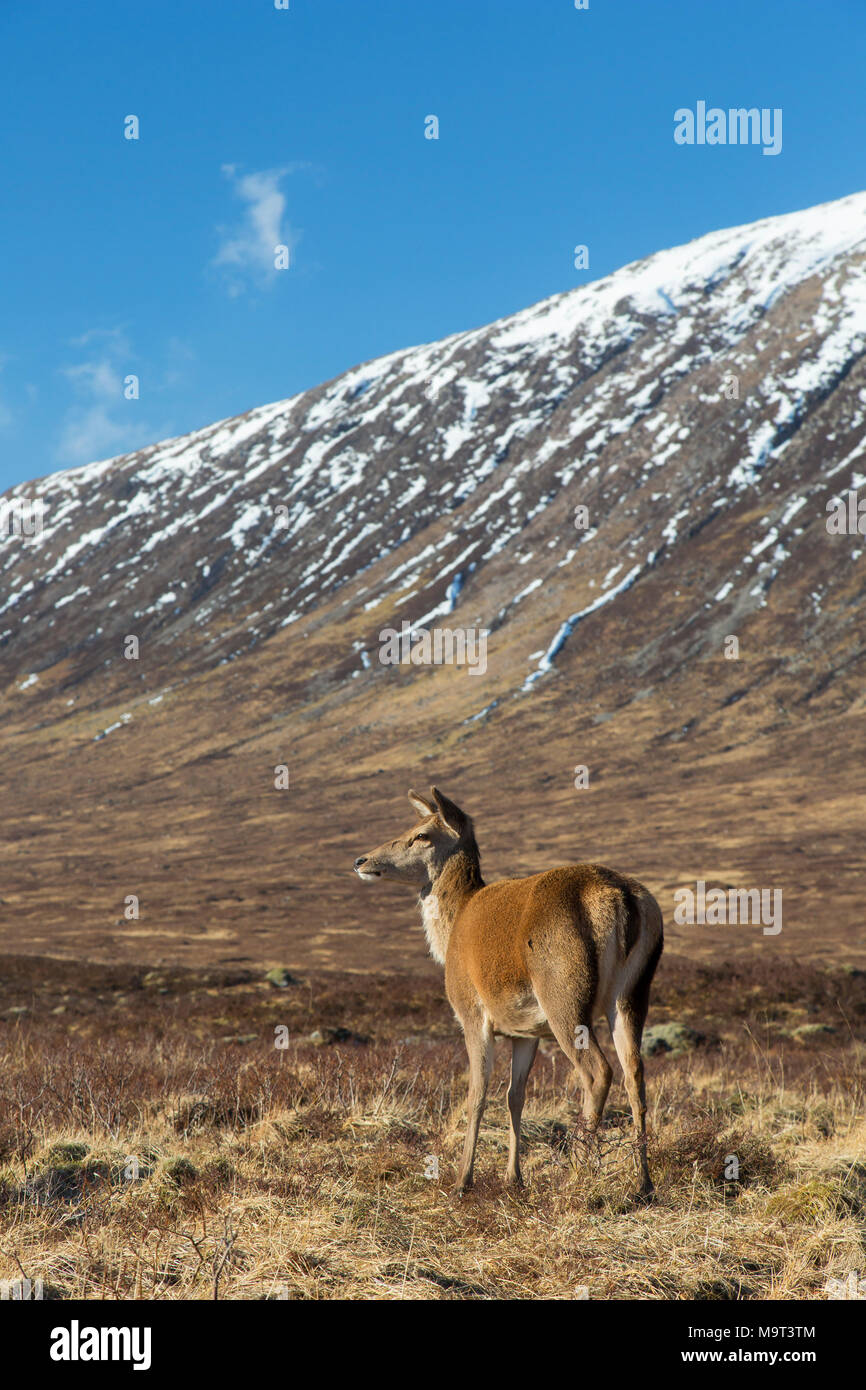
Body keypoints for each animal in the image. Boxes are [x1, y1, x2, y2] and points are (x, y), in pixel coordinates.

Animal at [353, 787, 663, 1199]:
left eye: (421, 834)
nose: (361, 860)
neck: (451, 929)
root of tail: (622, 898)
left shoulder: (471, 1012)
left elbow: (477, 1094)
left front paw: (462, 1181)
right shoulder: (525, 1030)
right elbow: (515, 1096)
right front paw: (513, 1178)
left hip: (564, 996)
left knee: (598, 1071)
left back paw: (576, 1177)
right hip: (633, 992)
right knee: (635, 1073)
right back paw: (643, 1182)